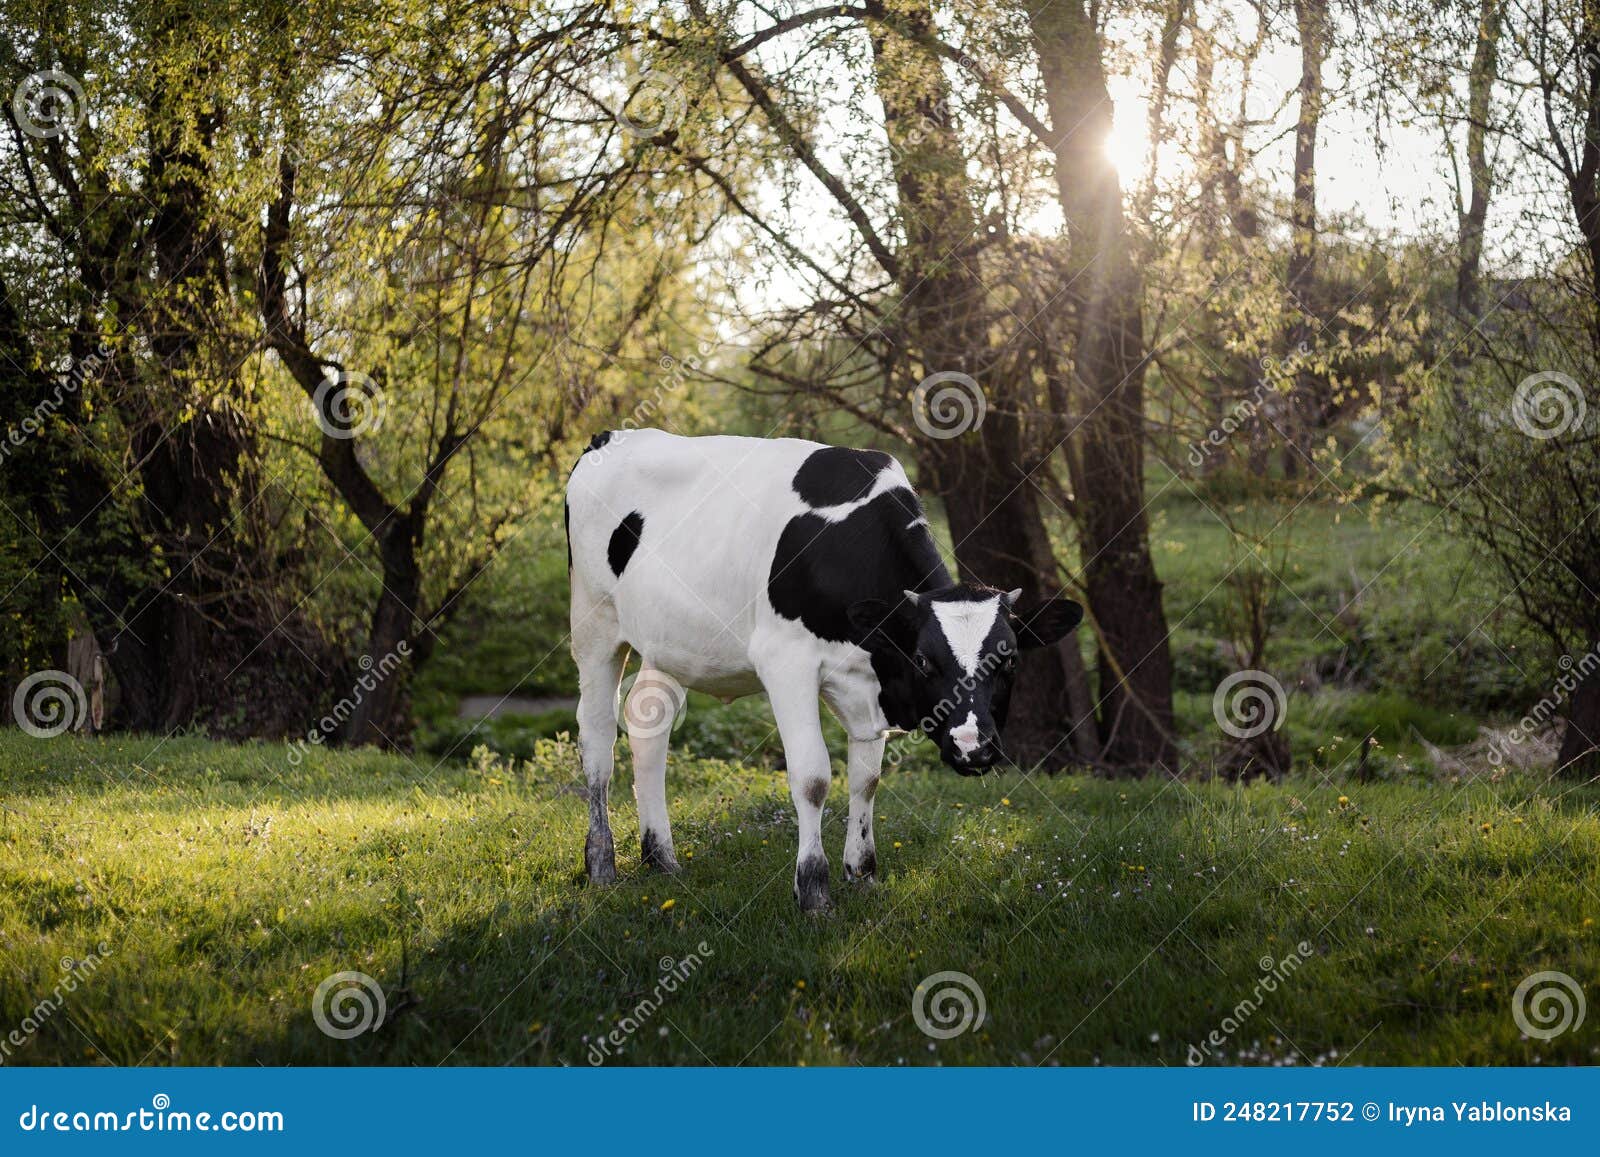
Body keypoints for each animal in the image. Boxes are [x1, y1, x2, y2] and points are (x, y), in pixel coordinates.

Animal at [565, 429, 1083, 911]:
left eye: (1009, 659)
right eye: (924, 660)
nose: (972, 747)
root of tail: (610, 437)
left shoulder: (866, 683)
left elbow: (866, 778)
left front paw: (863, 872)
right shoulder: (786, 661)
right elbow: (813, 778)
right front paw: (813, 889)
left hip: (671, 642)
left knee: (648, 724)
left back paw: (662, 859)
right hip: (593, 623)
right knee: (597, 739)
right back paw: (602, 864)